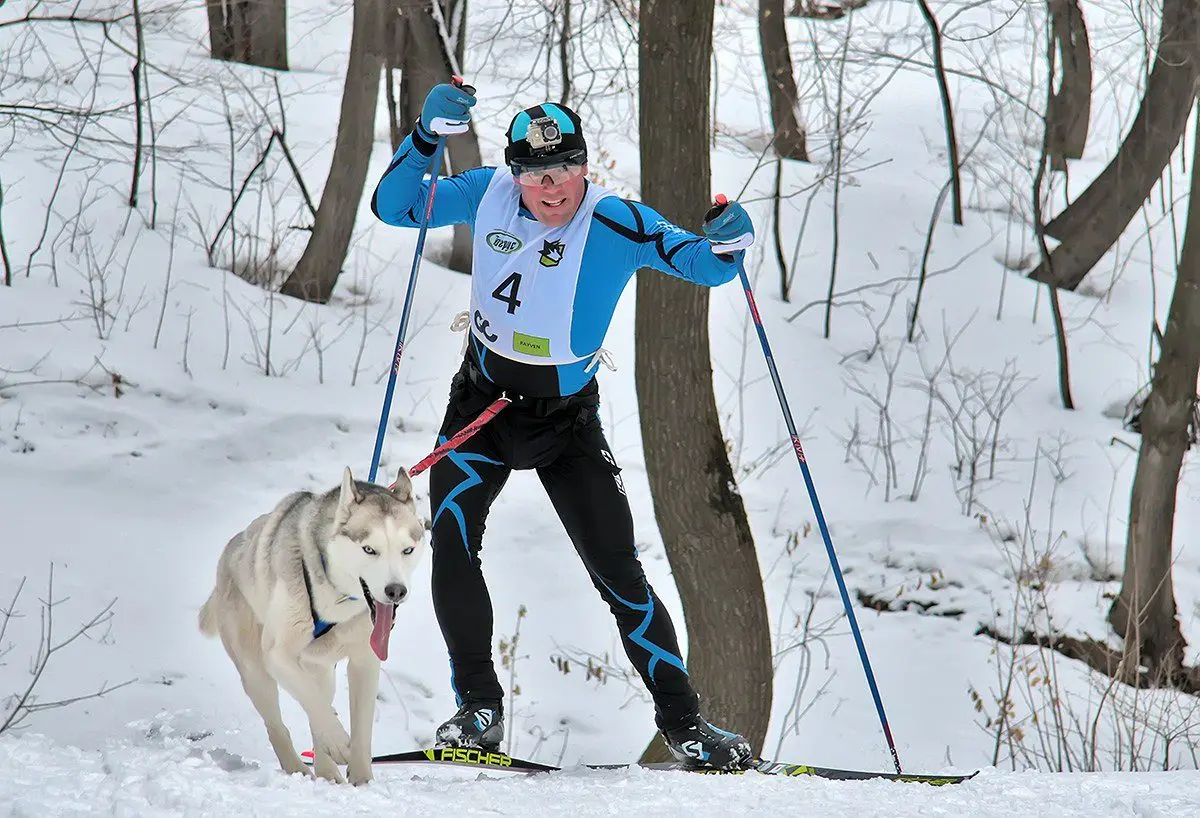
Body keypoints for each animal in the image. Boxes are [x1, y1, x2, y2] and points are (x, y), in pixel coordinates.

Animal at [204, 467, 429, 782]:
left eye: (407, 550)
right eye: (369, 549)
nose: (396, 591)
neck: (336, 599)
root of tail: (229, 551)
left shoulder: (364, 660)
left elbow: (360, 730)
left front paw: (362, 779)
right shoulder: (278, 654)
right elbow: (314, 703)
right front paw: (338, 742)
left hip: (322, 670)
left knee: (318, 706)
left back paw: (326, 770)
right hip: (256, 673)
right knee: (280, 724)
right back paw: (298, 767)